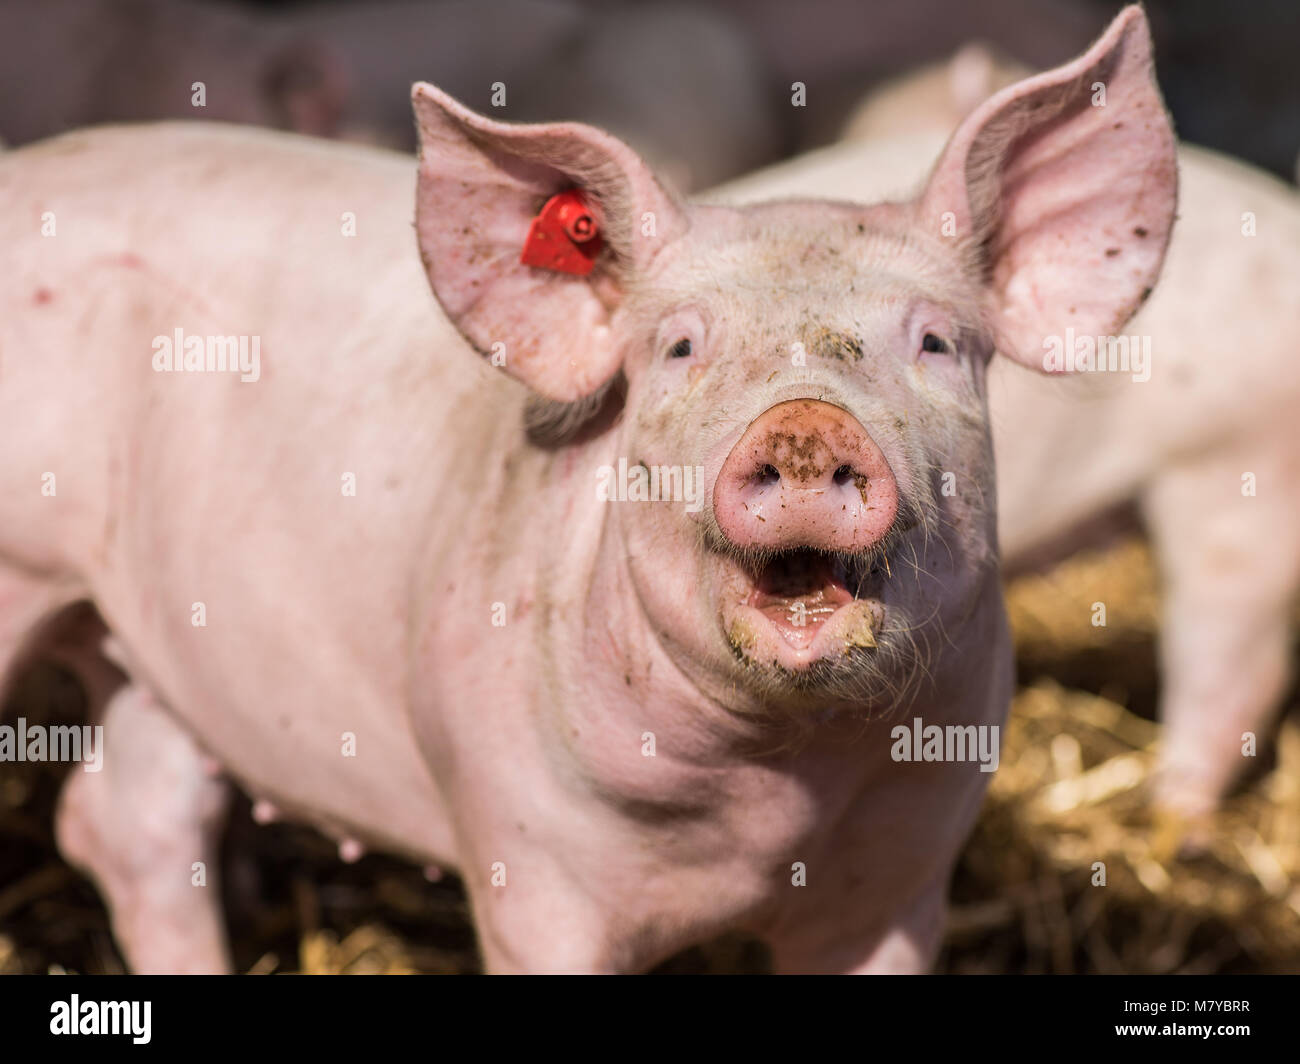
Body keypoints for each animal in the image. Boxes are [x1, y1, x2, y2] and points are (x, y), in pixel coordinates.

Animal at [0, 8, 1175, 972]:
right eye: (679, 346)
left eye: (934, 342)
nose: (805, 426)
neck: (768, 800)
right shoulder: (527, 861)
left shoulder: (901, 868)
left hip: (139, 638)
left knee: (128, 823)